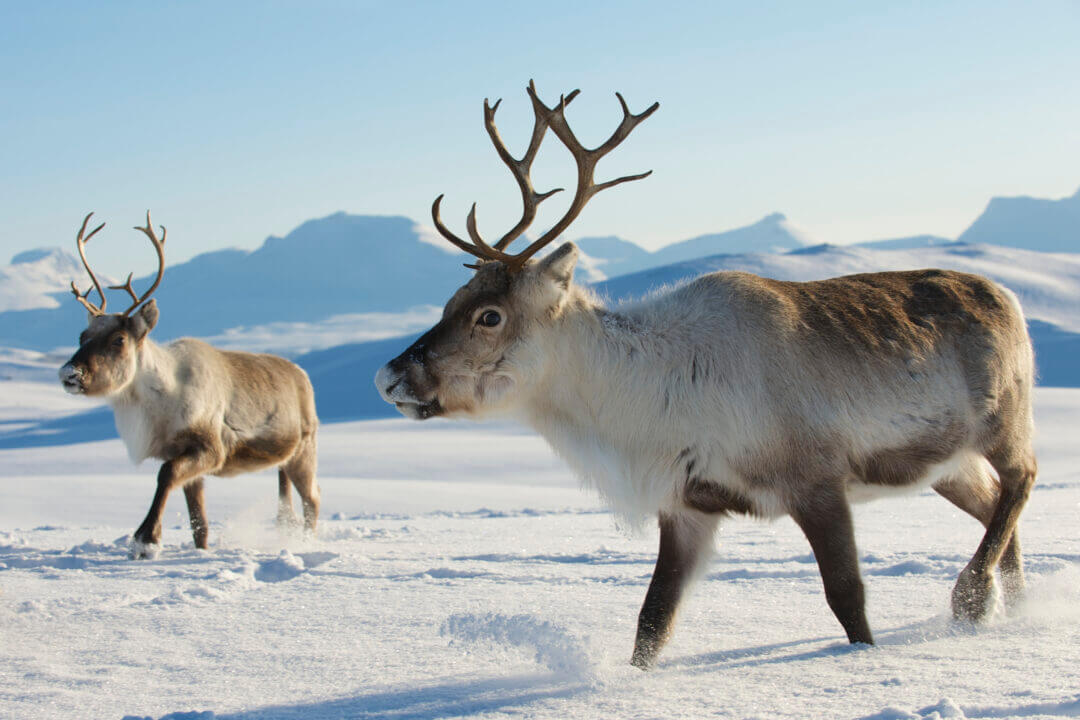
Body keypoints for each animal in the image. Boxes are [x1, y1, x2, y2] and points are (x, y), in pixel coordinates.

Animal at [59, 212, 320, 559]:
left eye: (119, 339)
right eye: (82, 336)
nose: (69, 373)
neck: (160, 402)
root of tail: (302, 375)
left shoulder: (210, 448)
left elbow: (165, 474)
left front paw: (146, 540)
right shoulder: (182, 454)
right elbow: (199, 522)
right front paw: (196, 549)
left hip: (305, 448)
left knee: (313, 500)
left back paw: (305, 544)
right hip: (286, 459)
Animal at [375, 81, 1037, 669]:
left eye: (489, 315)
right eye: (450, 301)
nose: (388, 376)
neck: (646, 399)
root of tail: (1008, 295)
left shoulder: (815, 479)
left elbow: (847, 598)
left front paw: (864, 662)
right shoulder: (688, 505)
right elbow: (652, 622)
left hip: (1003, 420)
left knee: (1021, 480)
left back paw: (973, 598)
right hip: (945, 464)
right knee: (994, 508)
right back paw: (1015, 608)